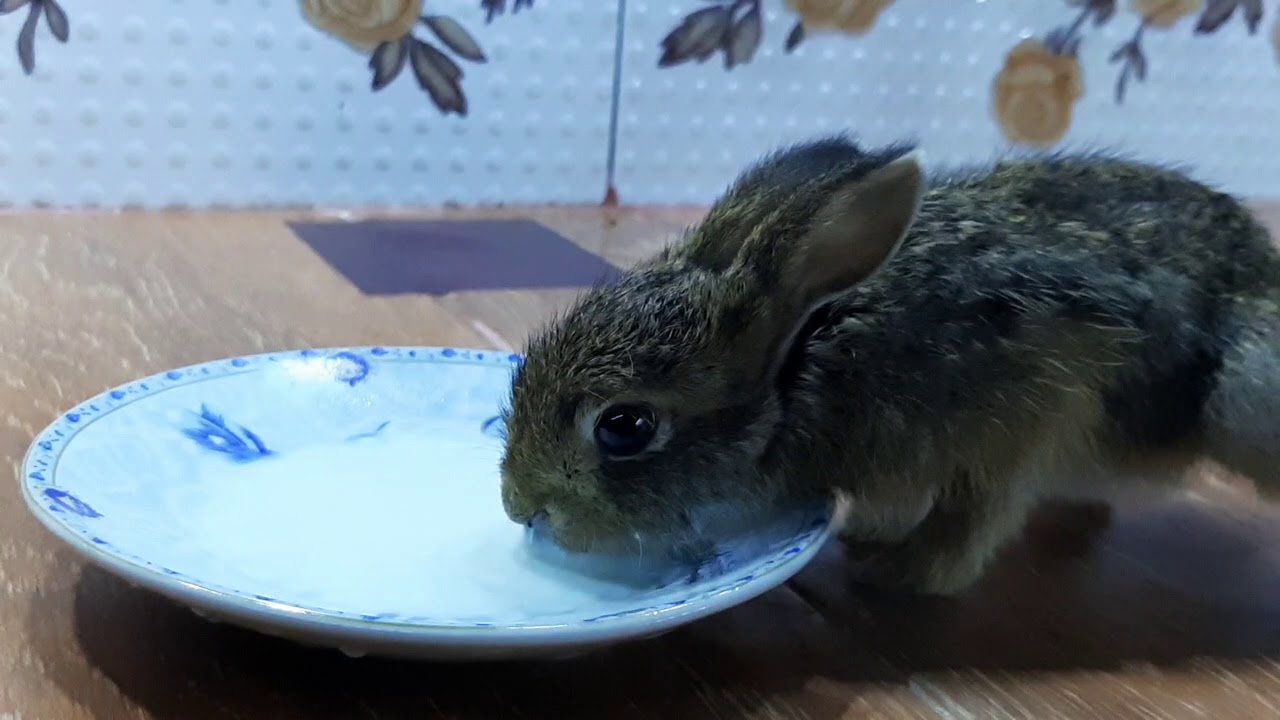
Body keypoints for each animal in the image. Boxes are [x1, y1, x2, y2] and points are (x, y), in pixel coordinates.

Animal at [498, 134, 1280, 596]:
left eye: (623, 427)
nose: (521, 506)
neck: (802, 368)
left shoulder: (1026, 412)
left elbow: (973, 522)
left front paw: (900, 570)